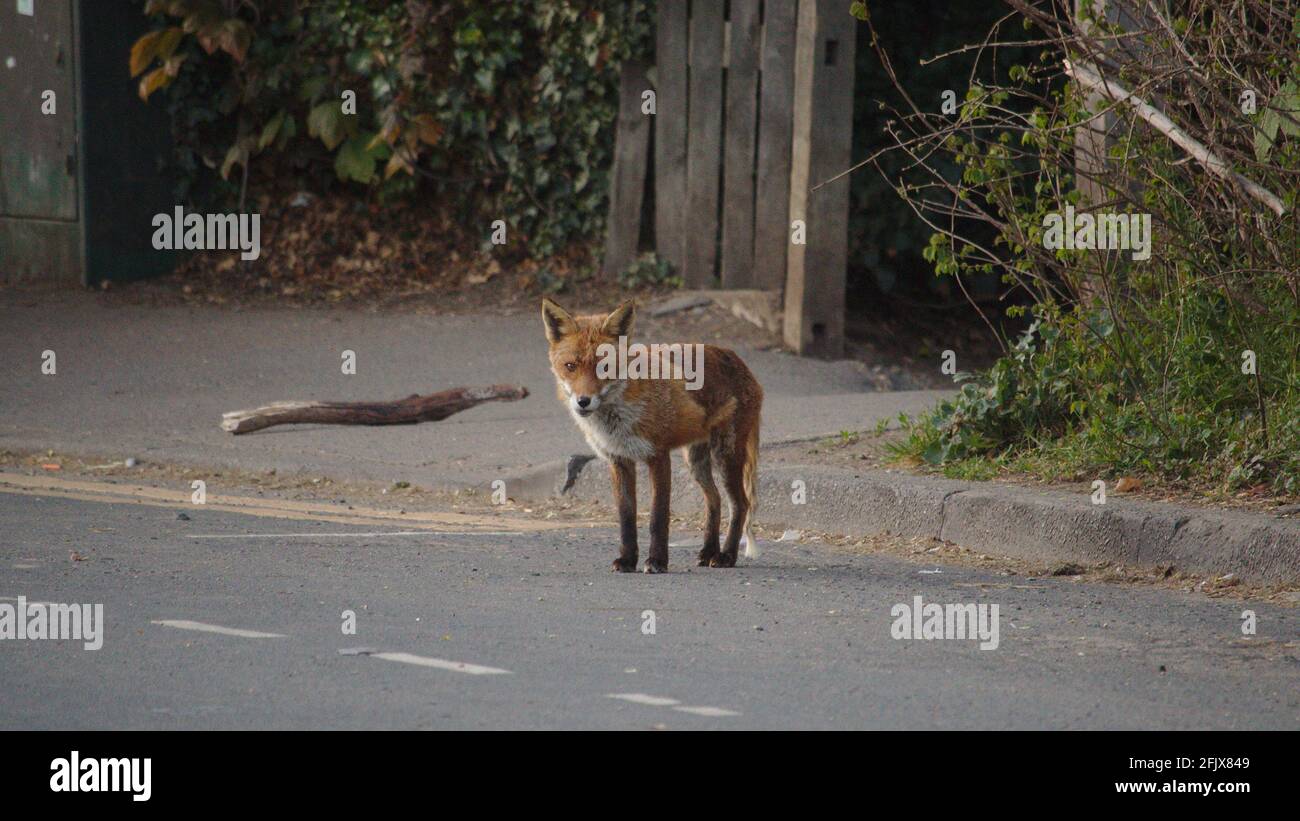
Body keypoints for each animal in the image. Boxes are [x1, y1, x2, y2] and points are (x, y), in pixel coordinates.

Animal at [542, 297, 763, 573]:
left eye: (605, 367)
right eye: (570, 366)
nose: (583, 401)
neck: (618, 417)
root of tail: (739, 361)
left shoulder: (657, 455)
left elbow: (658, 517)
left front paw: (657, 561)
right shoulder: (619, 460)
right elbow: (626, 517)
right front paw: (627, 560)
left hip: (725, 456)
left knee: (740, 504)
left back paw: (726, 556)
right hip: (696, 462)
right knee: (714, 500)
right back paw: (708, 551)